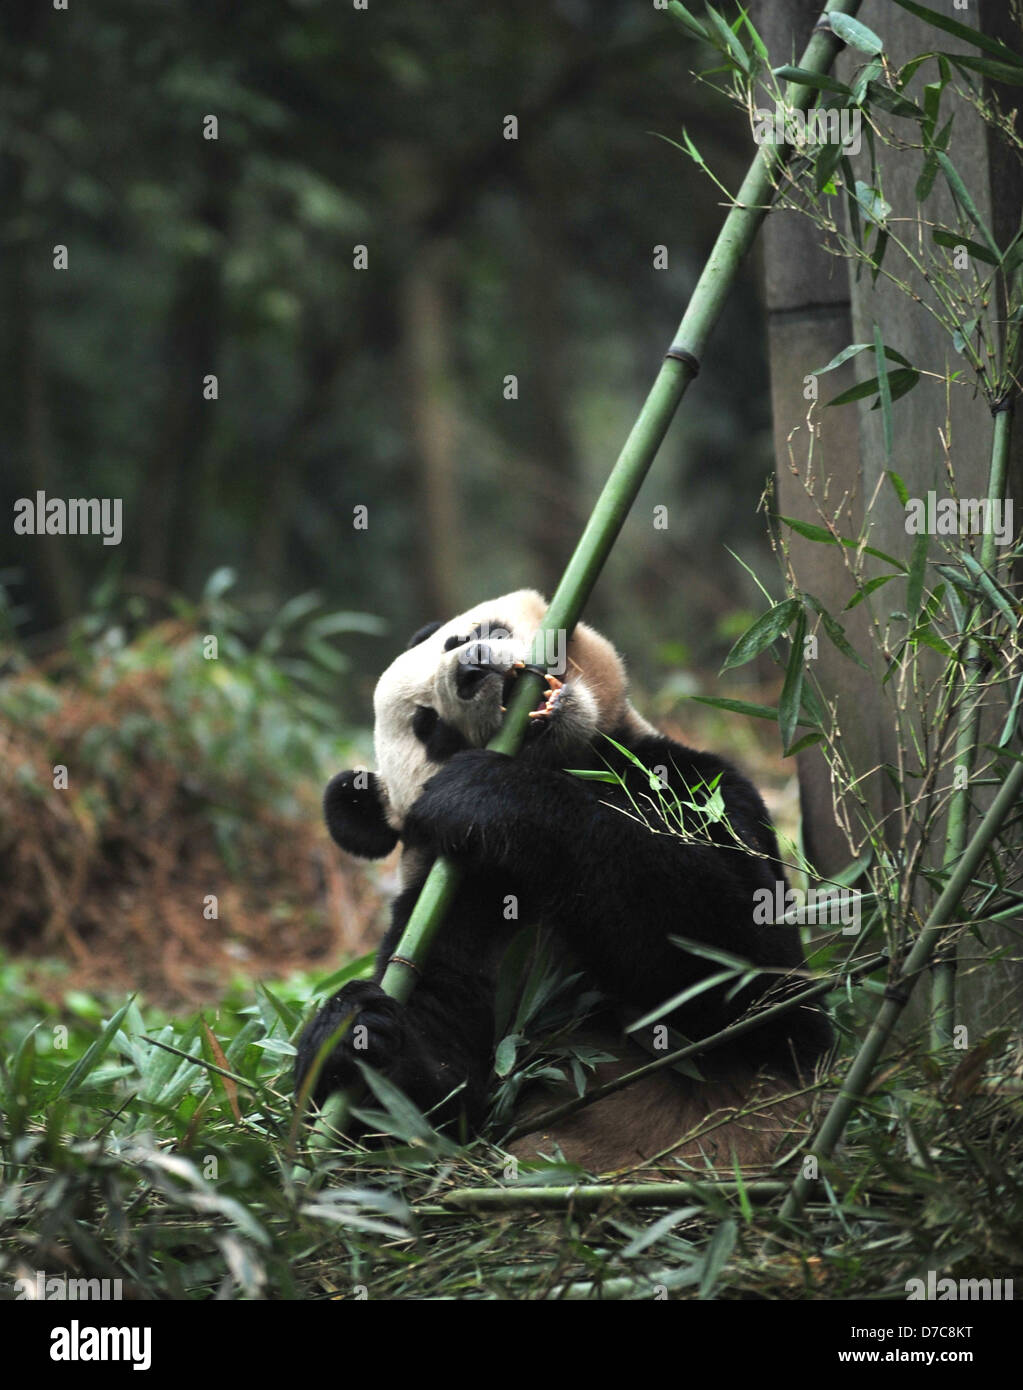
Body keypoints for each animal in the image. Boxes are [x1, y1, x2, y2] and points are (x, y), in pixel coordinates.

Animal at [295, 589, 832, 1172]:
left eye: (468, 635)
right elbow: (430, 1116)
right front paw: (352, 1031)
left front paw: (487, 793)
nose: (471, 668)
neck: (575, 762)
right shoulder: (445, 909)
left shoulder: (695, 786)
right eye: (428, 727)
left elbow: (756, 974)